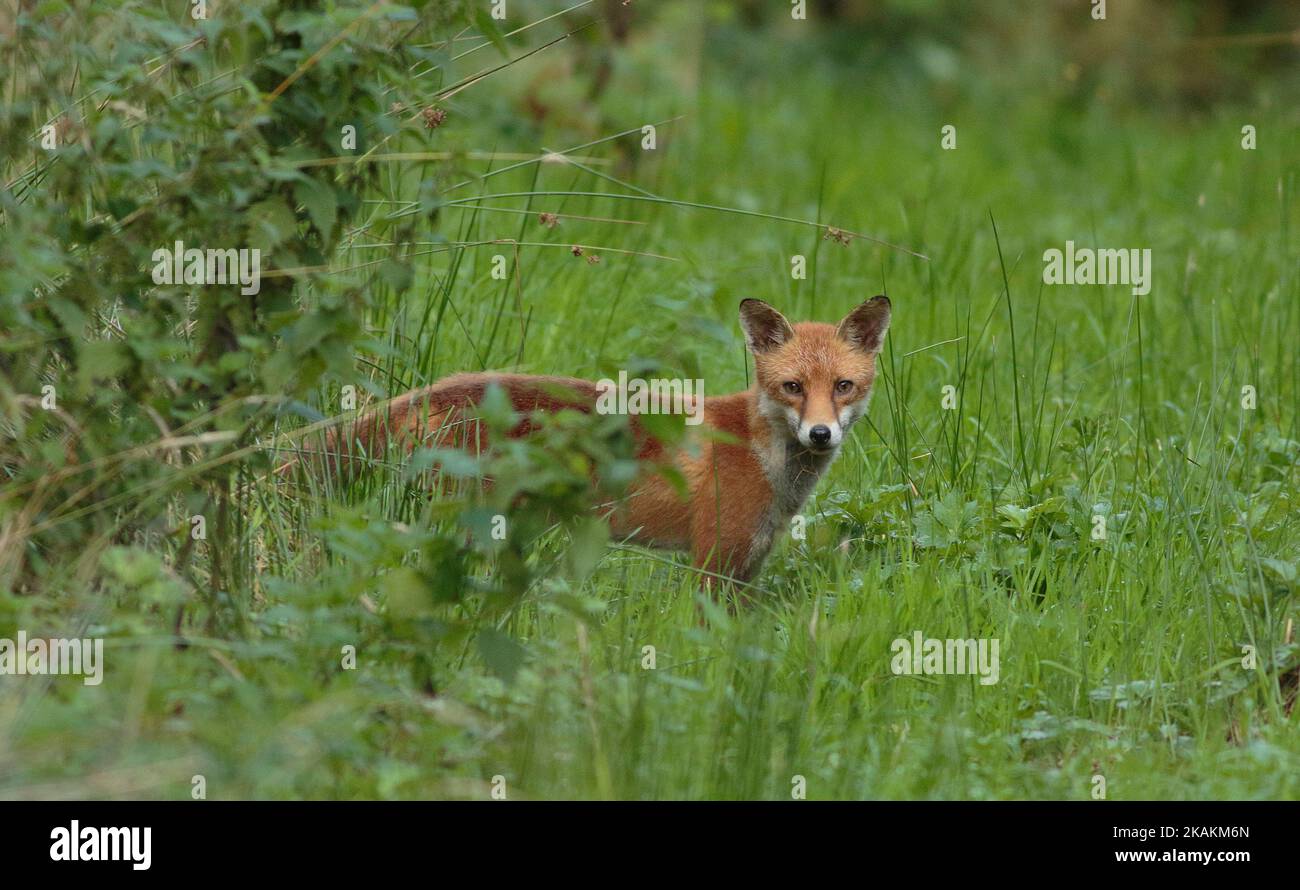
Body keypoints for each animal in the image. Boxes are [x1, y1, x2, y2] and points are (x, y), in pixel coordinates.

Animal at [288, 296, 891, 594]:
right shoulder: (713, 561)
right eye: (793, 387)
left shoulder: (748, 567)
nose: (820, 433)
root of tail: (438, 388)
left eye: (843, 386)